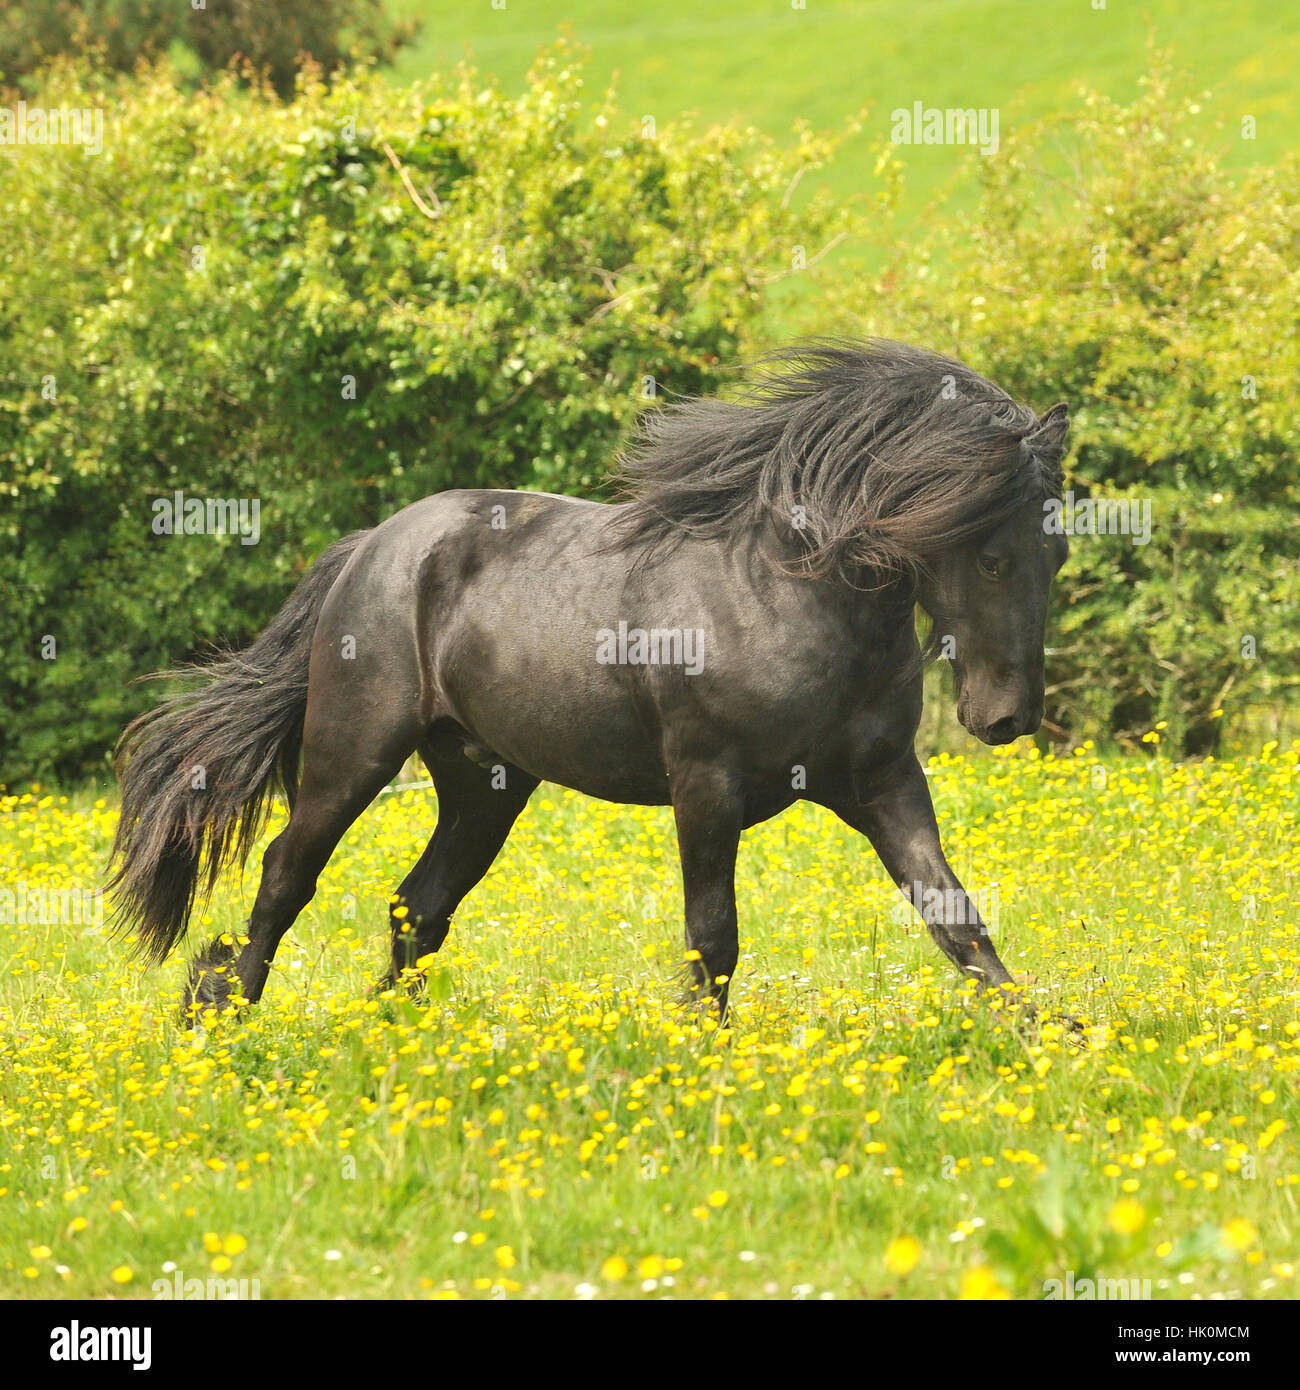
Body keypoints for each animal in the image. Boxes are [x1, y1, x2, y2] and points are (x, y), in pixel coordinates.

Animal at [107, 339, 1070, 1021]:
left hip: (484, 786)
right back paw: (221, 1013)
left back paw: (383, 1033)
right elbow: (713, 936)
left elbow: (953, 911)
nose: (1006, 718)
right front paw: (703, 1052)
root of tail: (374, 547)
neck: (790, 597)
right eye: (990, 558)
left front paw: (1041, 1032)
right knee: (287, 873)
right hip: (355, 757)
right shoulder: (705, 784)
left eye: (1056, 552)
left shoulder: (883, 781)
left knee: (418, 907)